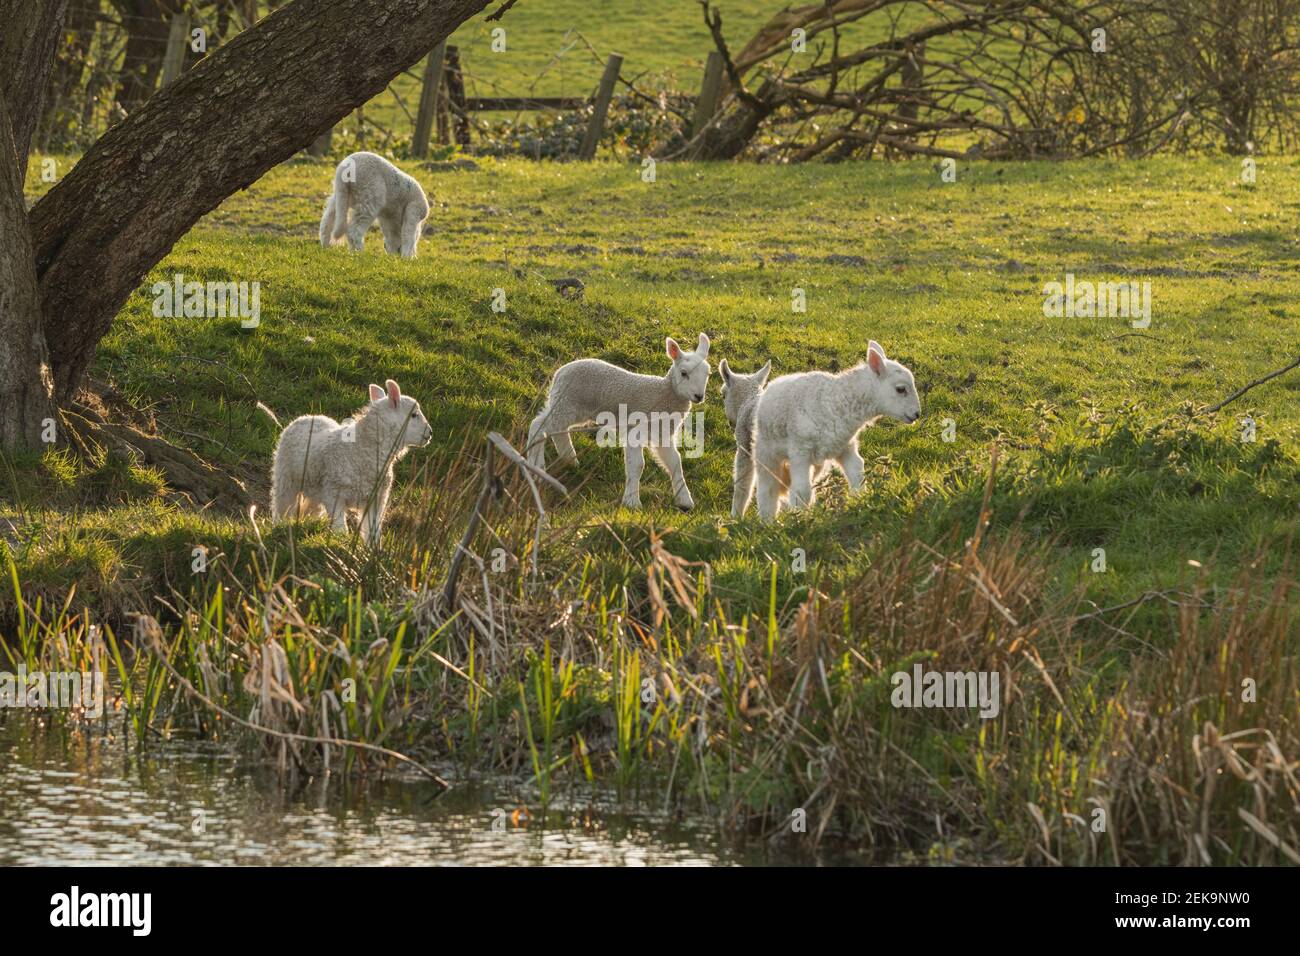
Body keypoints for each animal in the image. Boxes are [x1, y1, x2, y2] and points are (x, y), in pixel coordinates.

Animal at [270, 379, 432, 546]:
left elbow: (373, 530)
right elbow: (340, 527)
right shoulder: (334, 493)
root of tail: (306, 417)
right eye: (414, 415)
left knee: (312, 508)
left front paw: (372, 549)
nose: (430, 433)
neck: (362, 449)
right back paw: (279, 525)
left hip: (313, 485)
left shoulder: (376, 499)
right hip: (285, 477)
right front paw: (338, 542)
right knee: (281, 503)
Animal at [526, 333, 711, 510]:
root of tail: (559, 372)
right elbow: (637, 465)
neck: (664, 394)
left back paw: (570, 460)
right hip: (565, 403)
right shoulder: (635, 430)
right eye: (684, 373)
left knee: (558, 430)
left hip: (568, 406)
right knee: (538, 425)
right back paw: (536, 468)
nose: (699, 396)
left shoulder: (662, 435)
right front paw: (632, 502)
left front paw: (685, 501)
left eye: (708, 375)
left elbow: (675, 463)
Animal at [752, 341, 921, 521]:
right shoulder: (800, 451)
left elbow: (857, 472)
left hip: (818, 463)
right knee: (767, 488)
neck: (838, 402)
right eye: (901, 389)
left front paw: (860, 501)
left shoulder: (845, 446)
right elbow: (801, 490)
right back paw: (768, 521)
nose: (917, 414)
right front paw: (800, 518)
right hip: (766, 451)